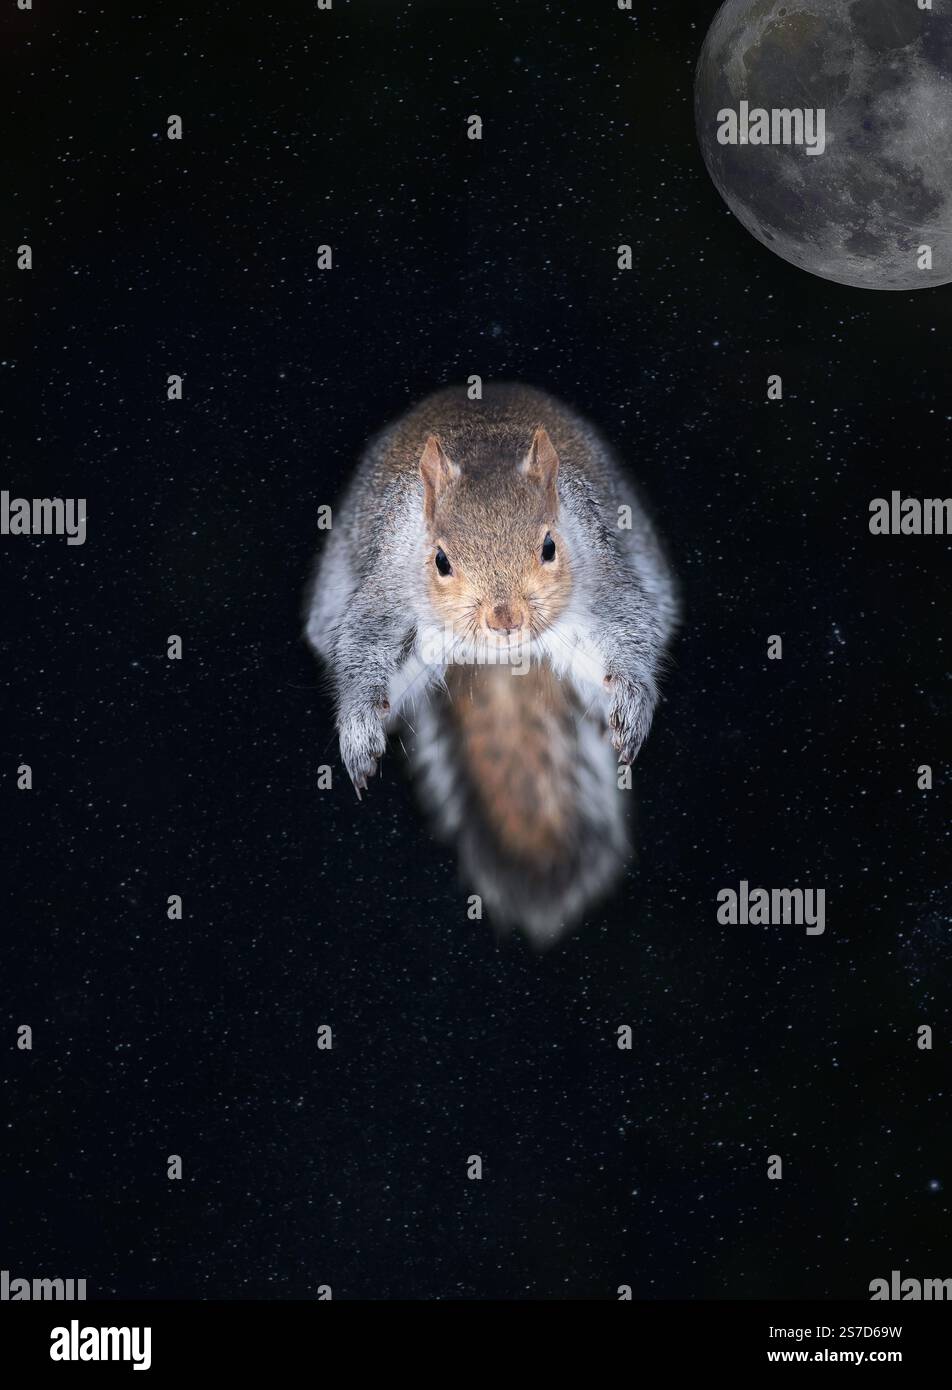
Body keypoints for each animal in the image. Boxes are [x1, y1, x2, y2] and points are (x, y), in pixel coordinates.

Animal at [305, 383, 678, 945]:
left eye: (549, 546)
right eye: (441, 560)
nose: (505, 619)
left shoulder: (602, 568)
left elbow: (630, 628)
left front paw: (631, 705)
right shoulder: (388, 580)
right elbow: (361, 645)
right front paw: (359, 730)